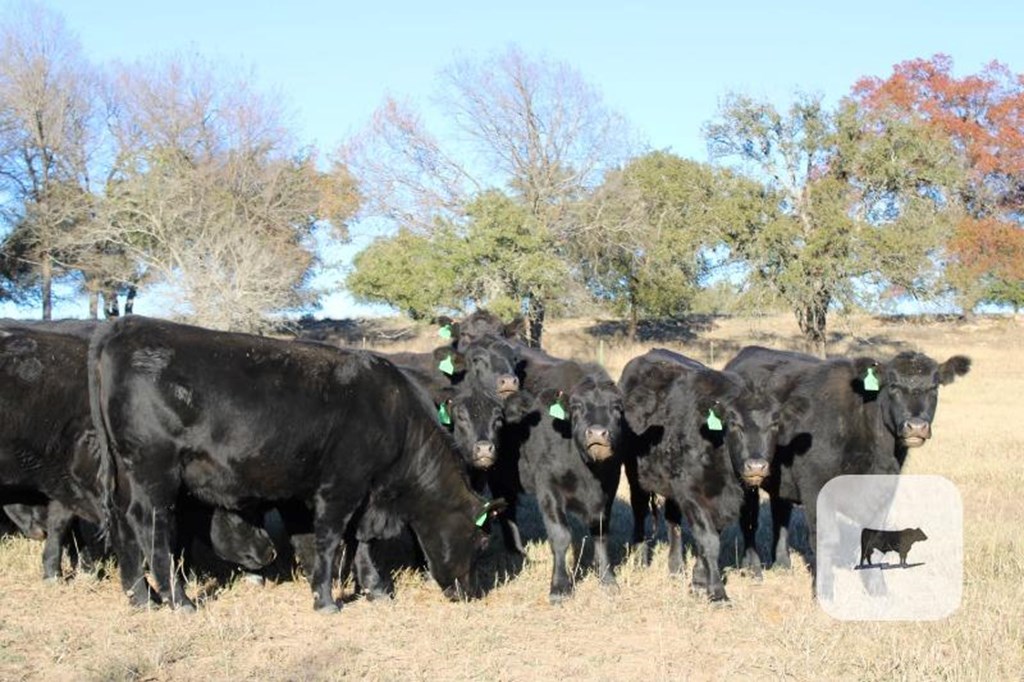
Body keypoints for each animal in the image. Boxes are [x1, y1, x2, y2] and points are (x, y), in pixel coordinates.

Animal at [88, 316, 499, 612]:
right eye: (480, 543)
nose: (471, 594)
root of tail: (124, 326)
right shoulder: (340, 488)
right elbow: (330, 541)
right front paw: (326, 600)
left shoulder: (366, 494)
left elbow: (363, 543)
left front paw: (375, 590)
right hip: (156, 470)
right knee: (153, 529)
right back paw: (179, 600)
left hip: (127, 473)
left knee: (125, 524)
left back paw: (142, 599)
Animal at [618, 348, 807, 600]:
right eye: (734, 423)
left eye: (775, 424)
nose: (756, 466)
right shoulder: (692, 493)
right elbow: (709, 540)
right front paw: (717, 593)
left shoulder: (727, 499)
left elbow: (710, 537)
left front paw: (699, 580)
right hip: (635, 474)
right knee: (640, 511)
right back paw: (640, 559)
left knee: (673, 522)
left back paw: (676, 567)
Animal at [724, 346, 970, 573]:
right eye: (893, 386)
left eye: (934, 387)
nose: (916, 426)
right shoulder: (815, 486)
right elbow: (823, 539)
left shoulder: (885, 489)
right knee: (749, 520)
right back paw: (752, 567)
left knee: (780, 513)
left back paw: (782, 564)